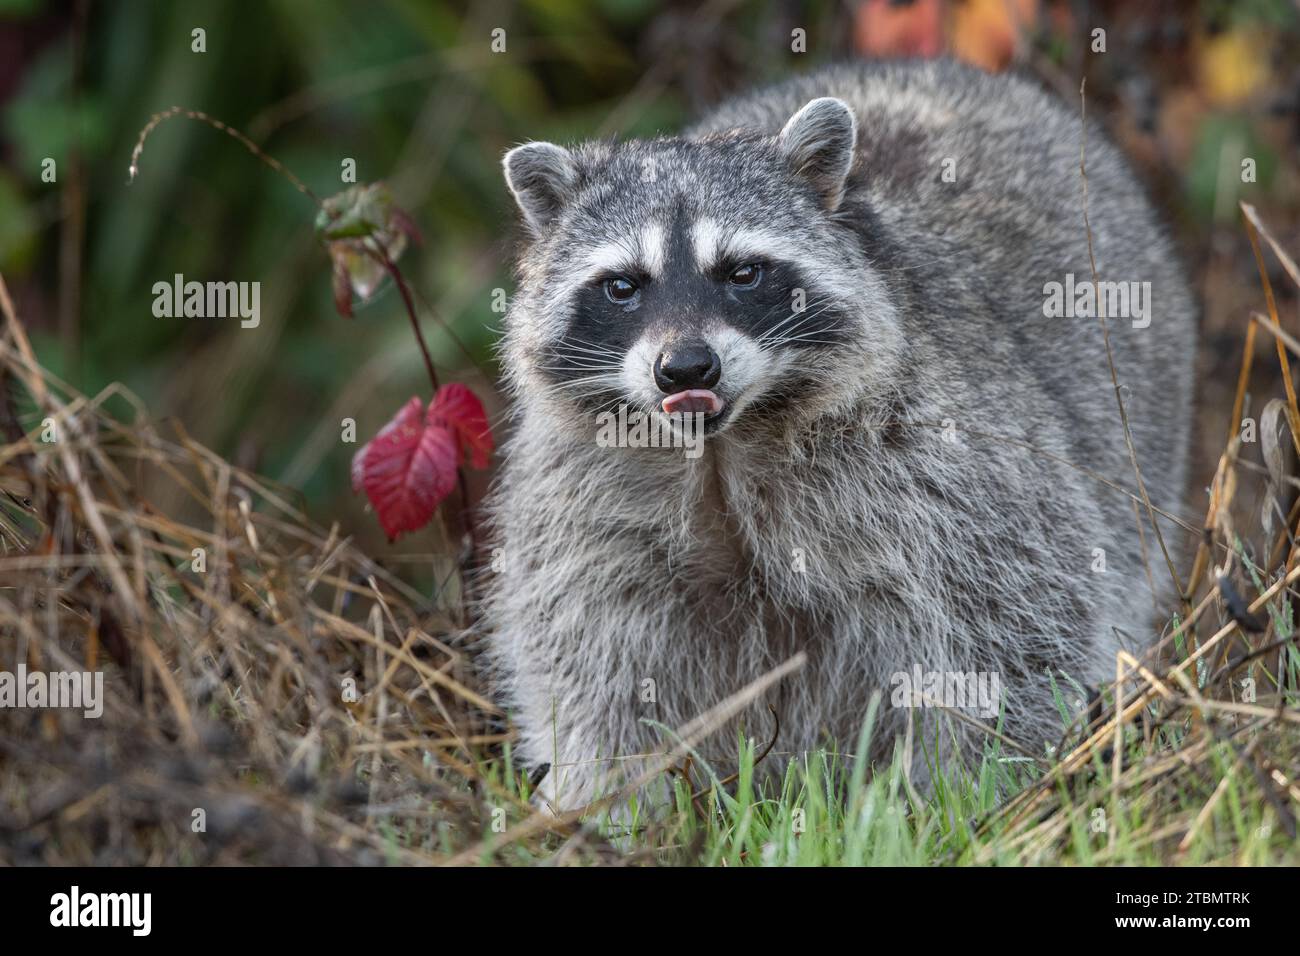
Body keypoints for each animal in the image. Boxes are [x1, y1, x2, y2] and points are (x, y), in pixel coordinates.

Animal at [484, 59, 1196, 811]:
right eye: (622, 286)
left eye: (742, 272)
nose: (685, 367)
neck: (718, 446)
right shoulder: (582, 499)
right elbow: (593, 668)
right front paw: (603, 804)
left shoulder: (941, 469)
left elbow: (1009, 630)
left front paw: (966, 798)